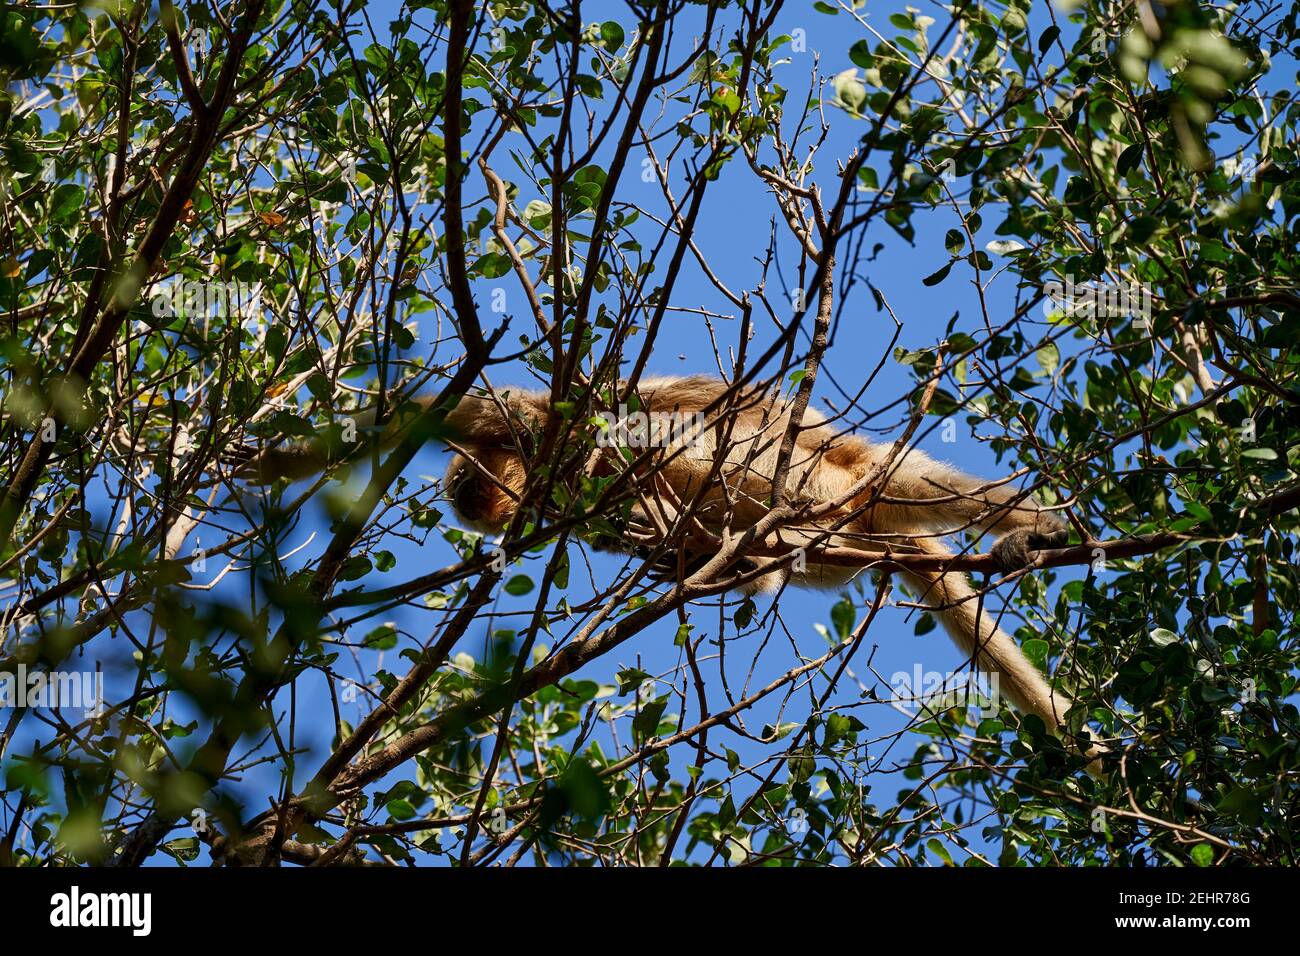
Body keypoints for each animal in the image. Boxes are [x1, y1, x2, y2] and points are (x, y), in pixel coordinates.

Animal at [237, 375, 1103, 769]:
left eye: (485, 491)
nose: (502, 518)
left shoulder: (529, 415)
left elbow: (434, 410)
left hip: (830, 473)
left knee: (880, 469)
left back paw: (1027, 531)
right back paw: (747, 565)